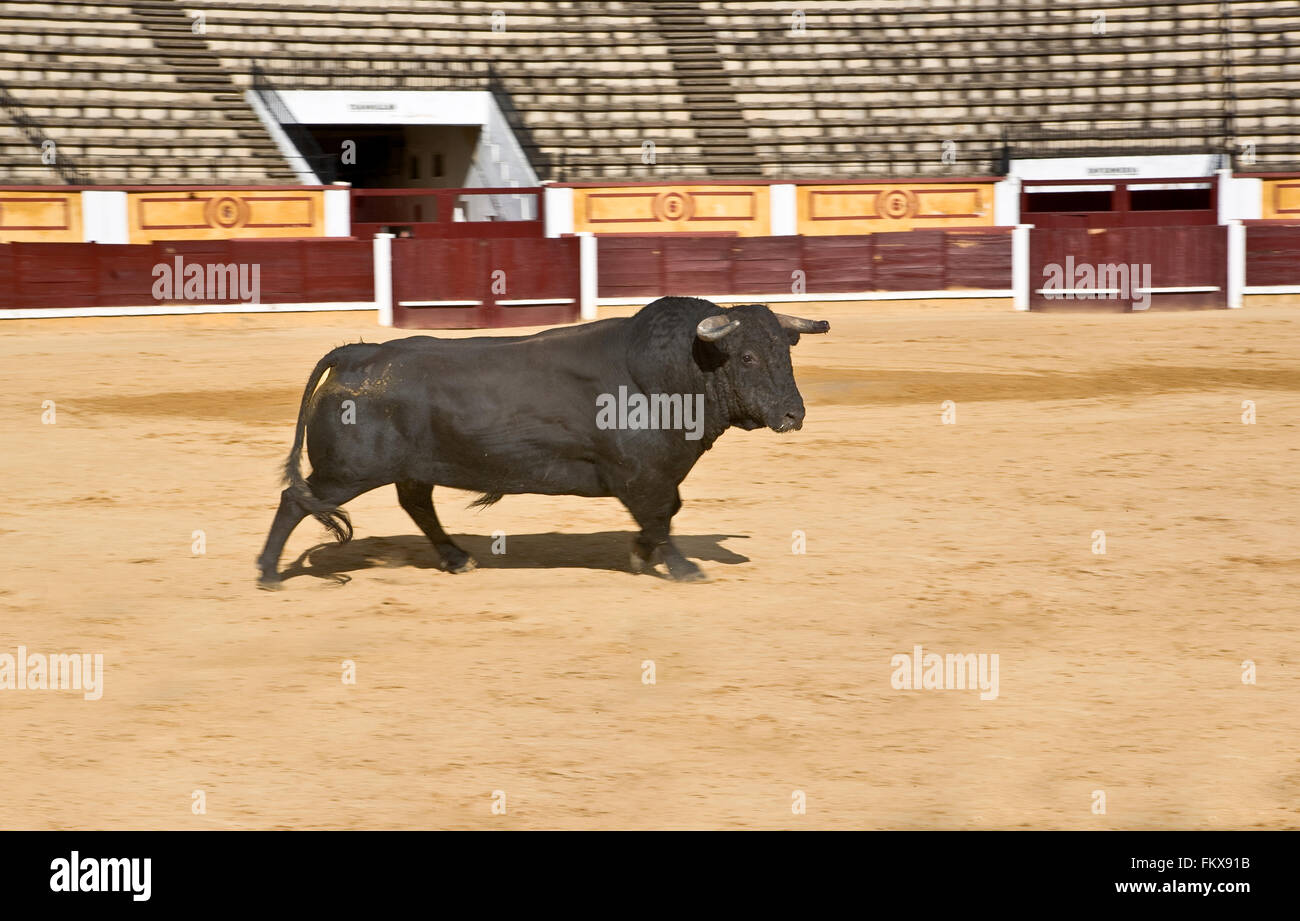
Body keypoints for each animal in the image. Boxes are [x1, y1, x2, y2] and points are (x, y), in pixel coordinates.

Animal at [256, 296, 829, 588]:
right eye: (748, 357)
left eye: (785, 352)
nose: (793, 414)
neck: (675, 371)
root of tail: (356, 353)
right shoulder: (641, 474)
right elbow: (661, 514)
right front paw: (685, 569)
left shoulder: (655, 475)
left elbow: (664, 513)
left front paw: (642, 555)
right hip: (345, 472)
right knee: (295, 500)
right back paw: (267, 572)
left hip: (405, 468)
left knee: (417, 505)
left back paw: (456, 558)